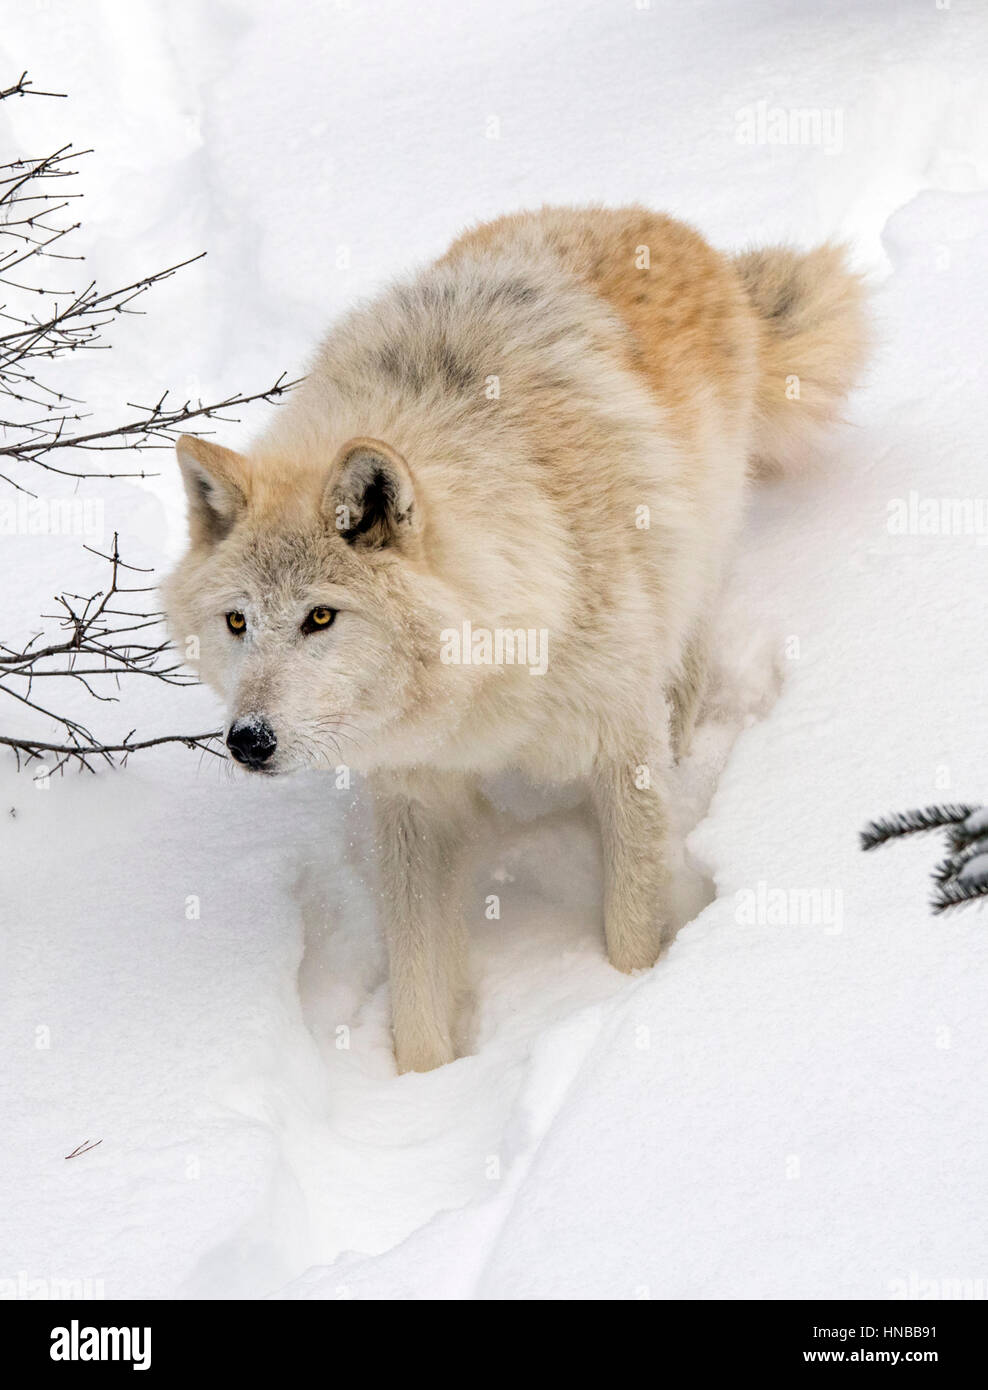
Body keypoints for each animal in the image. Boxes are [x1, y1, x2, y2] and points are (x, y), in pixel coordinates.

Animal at [164, 206, 867, 1072]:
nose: (247, 740)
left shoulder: (618, 748)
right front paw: (422, 1088)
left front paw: (625, 1002)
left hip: (694, 578)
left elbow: (631, 921)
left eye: (320, 617)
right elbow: (416, 985)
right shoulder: (414, 794)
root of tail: (655, 221)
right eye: (238, 621)